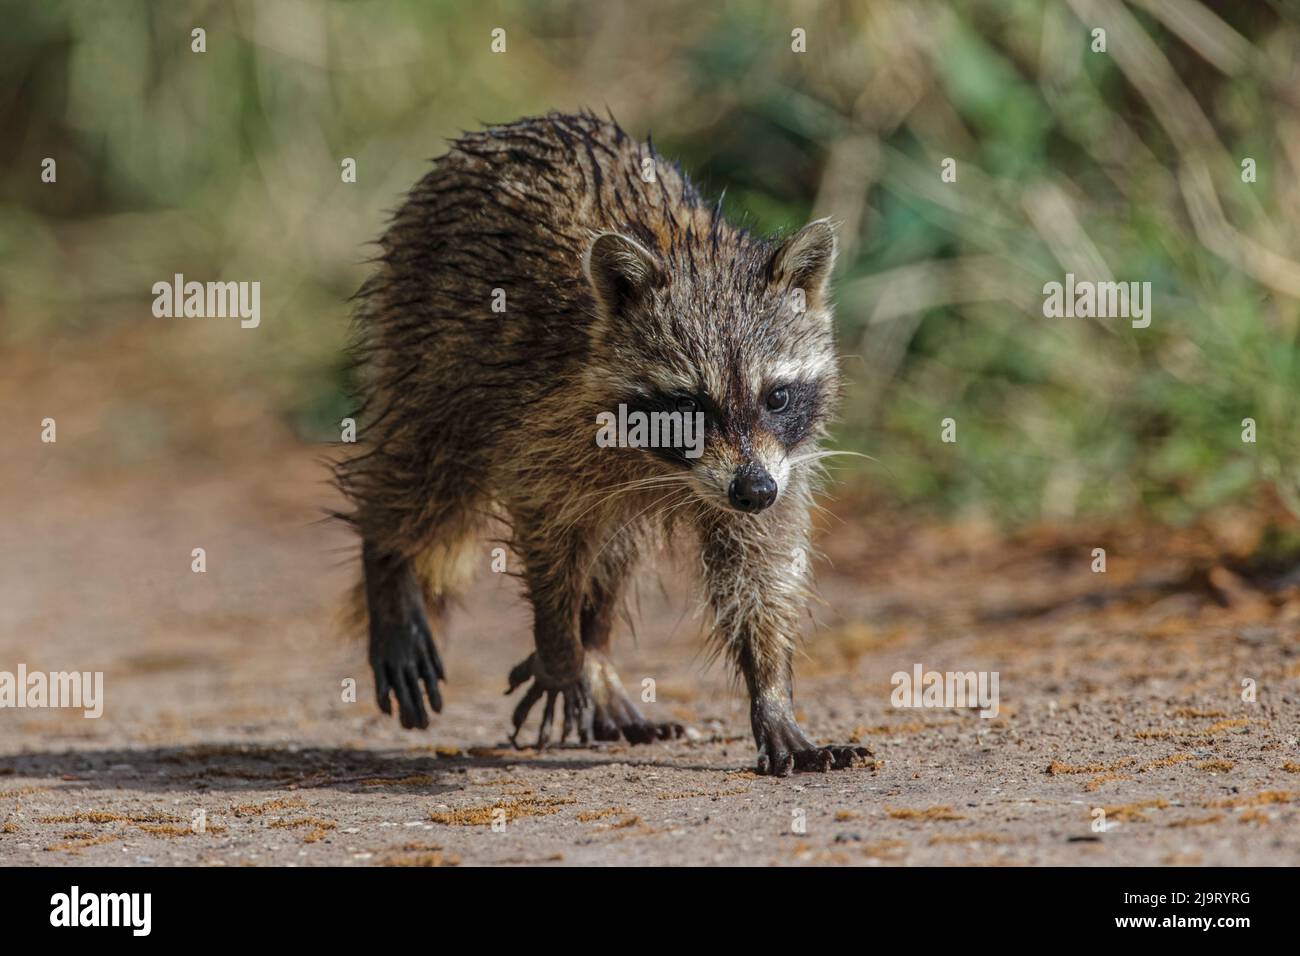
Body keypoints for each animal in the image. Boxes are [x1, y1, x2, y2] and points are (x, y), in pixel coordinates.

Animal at [337, 111, 869, 776]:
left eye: (777, 396)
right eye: (688, 404)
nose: (752, 491)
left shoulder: (781, 463)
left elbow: (760, 568)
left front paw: (772, 694)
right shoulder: (544, 417)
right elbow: (546, 527)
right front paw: (558, 643)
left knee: (615, 552)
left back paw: (598, 651)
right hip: (424, 335)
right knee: (425, 473)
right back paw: (389, 559)